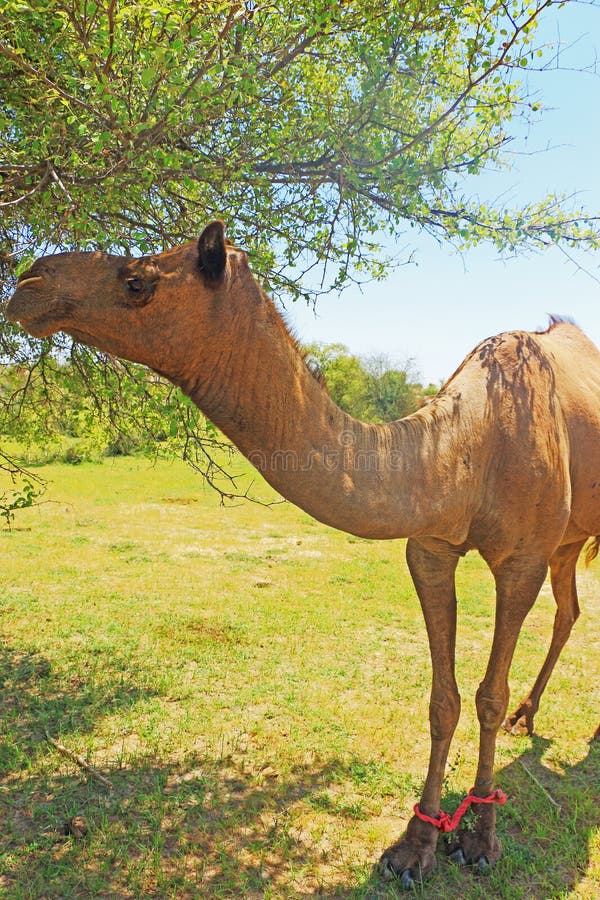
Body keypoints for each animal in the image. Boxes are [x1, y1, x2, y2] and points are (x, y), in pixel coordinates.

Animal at [6, 221, 600, 887]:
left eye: (137, 281)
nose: (27, 283)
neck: (469, 449)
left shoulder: (521, 561)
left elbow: (487, 698)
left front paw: (480, 838)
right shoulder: (430, 548)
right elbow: (442, 701)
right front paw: (416, 844)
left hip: (561, 538)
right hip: (569, 539)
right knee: (570, 610)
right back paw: (531, 715)